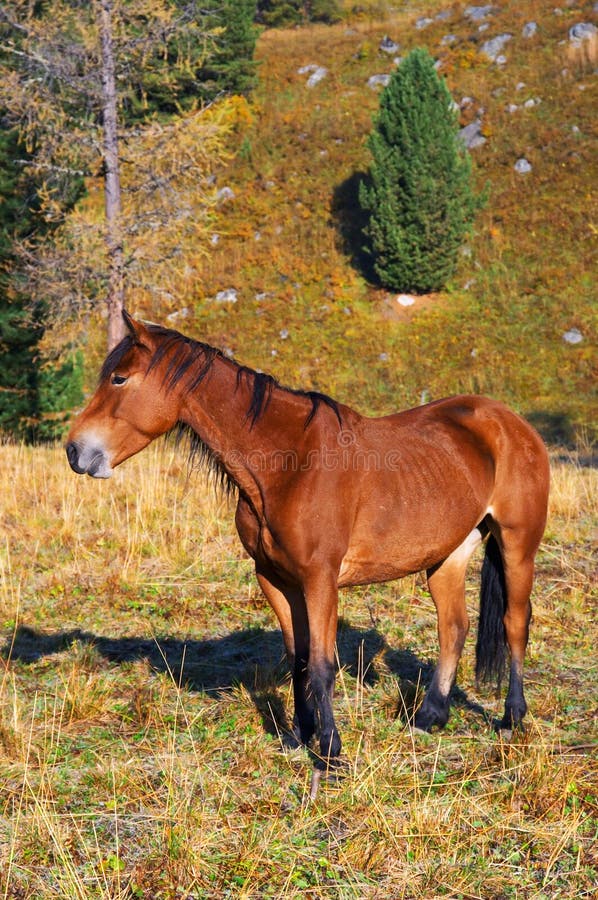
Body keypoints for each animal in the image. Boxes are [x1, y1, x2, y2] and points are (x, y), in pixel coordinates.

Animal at [66, 311, 550, 778]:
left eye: (119, 379)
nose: (75, 451)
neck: (289, 464)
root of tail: (509, 422)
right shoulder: (275, 578)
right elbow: (297, 657)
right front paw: (301, 734)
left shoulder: (320, 580)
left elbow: (320, 665)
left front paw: (332, 755)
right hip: (447, 556)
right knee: (453, 627)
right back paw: (430, 716)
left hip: (517, 545)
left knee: (514, 623)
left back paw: (512, 718)